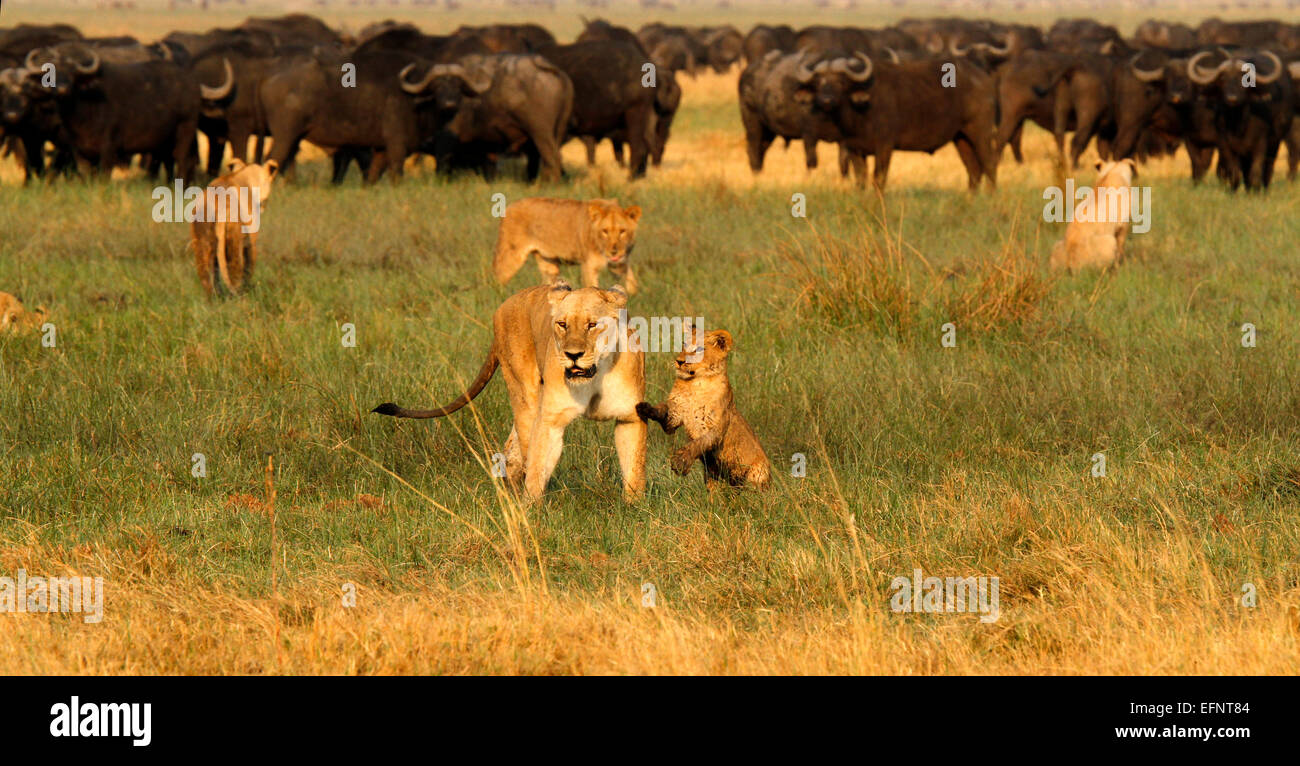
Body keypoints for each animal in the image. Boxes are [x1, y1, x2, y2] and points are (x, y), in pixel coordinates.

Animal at [191, 159, 279, 296]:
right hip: (234, 240)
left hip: (202, 242)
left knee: (207, 276)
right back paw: (242, 295)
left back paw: (215, 298)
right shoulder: (251, 239)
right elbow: (249, 265)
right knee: (235, 272)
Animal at [373, 280, 647, 502]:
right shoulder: (550, 420)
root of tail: (505, 304)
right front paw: (532, 512)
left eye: (592, 325)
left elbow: (634, 467)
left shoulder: (630, 417)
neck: (595, 375)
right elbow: (538, 465)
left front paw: (633, 507)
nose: (573, 355)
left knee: (512, 447)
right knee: (525, 448)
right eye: (562, 324)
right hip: (526, 395)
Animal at [492, 198, 642, 295]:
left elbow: (632, 284)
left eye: (622, 231)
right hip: (511, 256)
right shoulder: (589, 266)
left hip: (548, 263)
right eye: (605, 231)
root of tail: (510, 206)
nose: (614, 252)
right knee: (497, 279)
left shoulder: (621, 264)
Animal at [636, 325, 771, 490]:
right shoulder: (674, 416)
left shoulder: (716, 427)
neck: (694, 384)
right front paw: (644, 408)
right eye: (684, 344)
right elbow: (662, 410)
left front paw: (681, 462)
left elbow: (698, 443)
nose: (679, 361)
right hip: (711, 477)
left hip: (758, 473)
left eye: (699, 349)